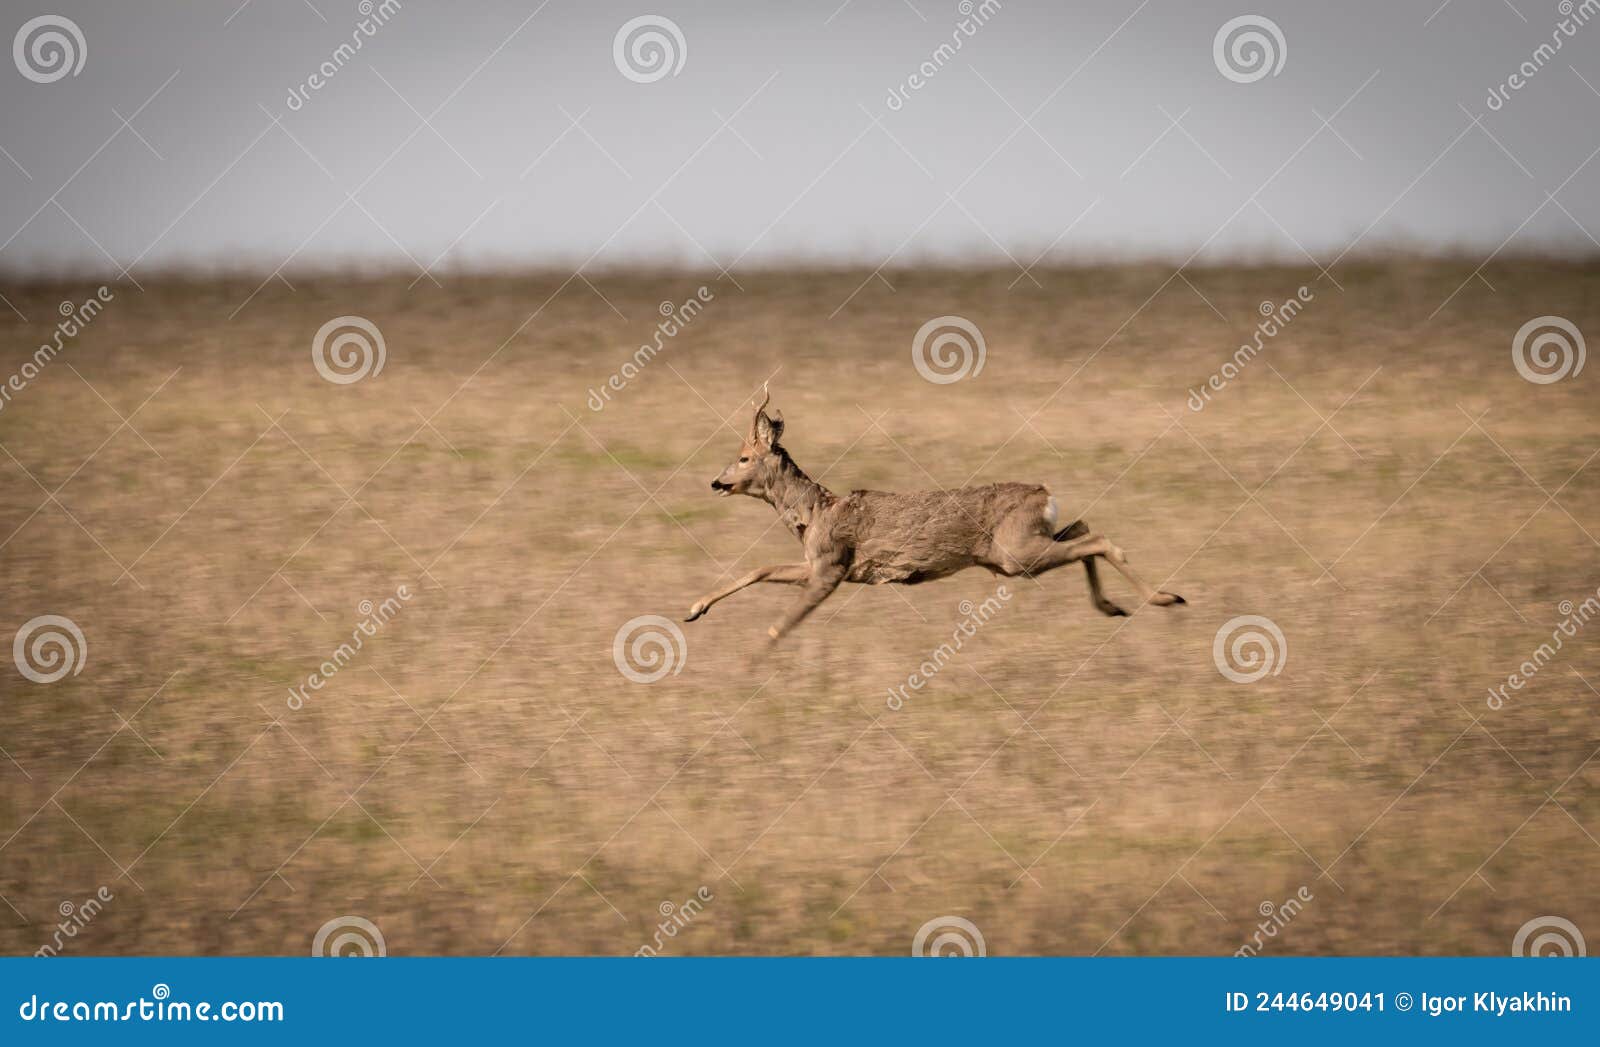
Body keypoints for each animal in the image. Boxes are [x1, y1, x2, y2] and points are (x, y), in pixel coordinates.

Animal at [684, 386, 1185, 642]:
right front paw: (694, 609)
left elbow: (787, 618)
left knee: (1098, 539)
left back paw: (1167, 598)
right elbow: (762, 568)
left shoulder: (831, 567)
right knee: (1084, 529)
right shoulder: (821, 564)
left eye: (744, 456)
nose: (716, 482)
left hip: (1013, 554)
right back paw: (1115, 606)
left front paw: (760, 651)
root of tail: (1045, 493)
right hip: (1027, 544)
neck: (815, 513)